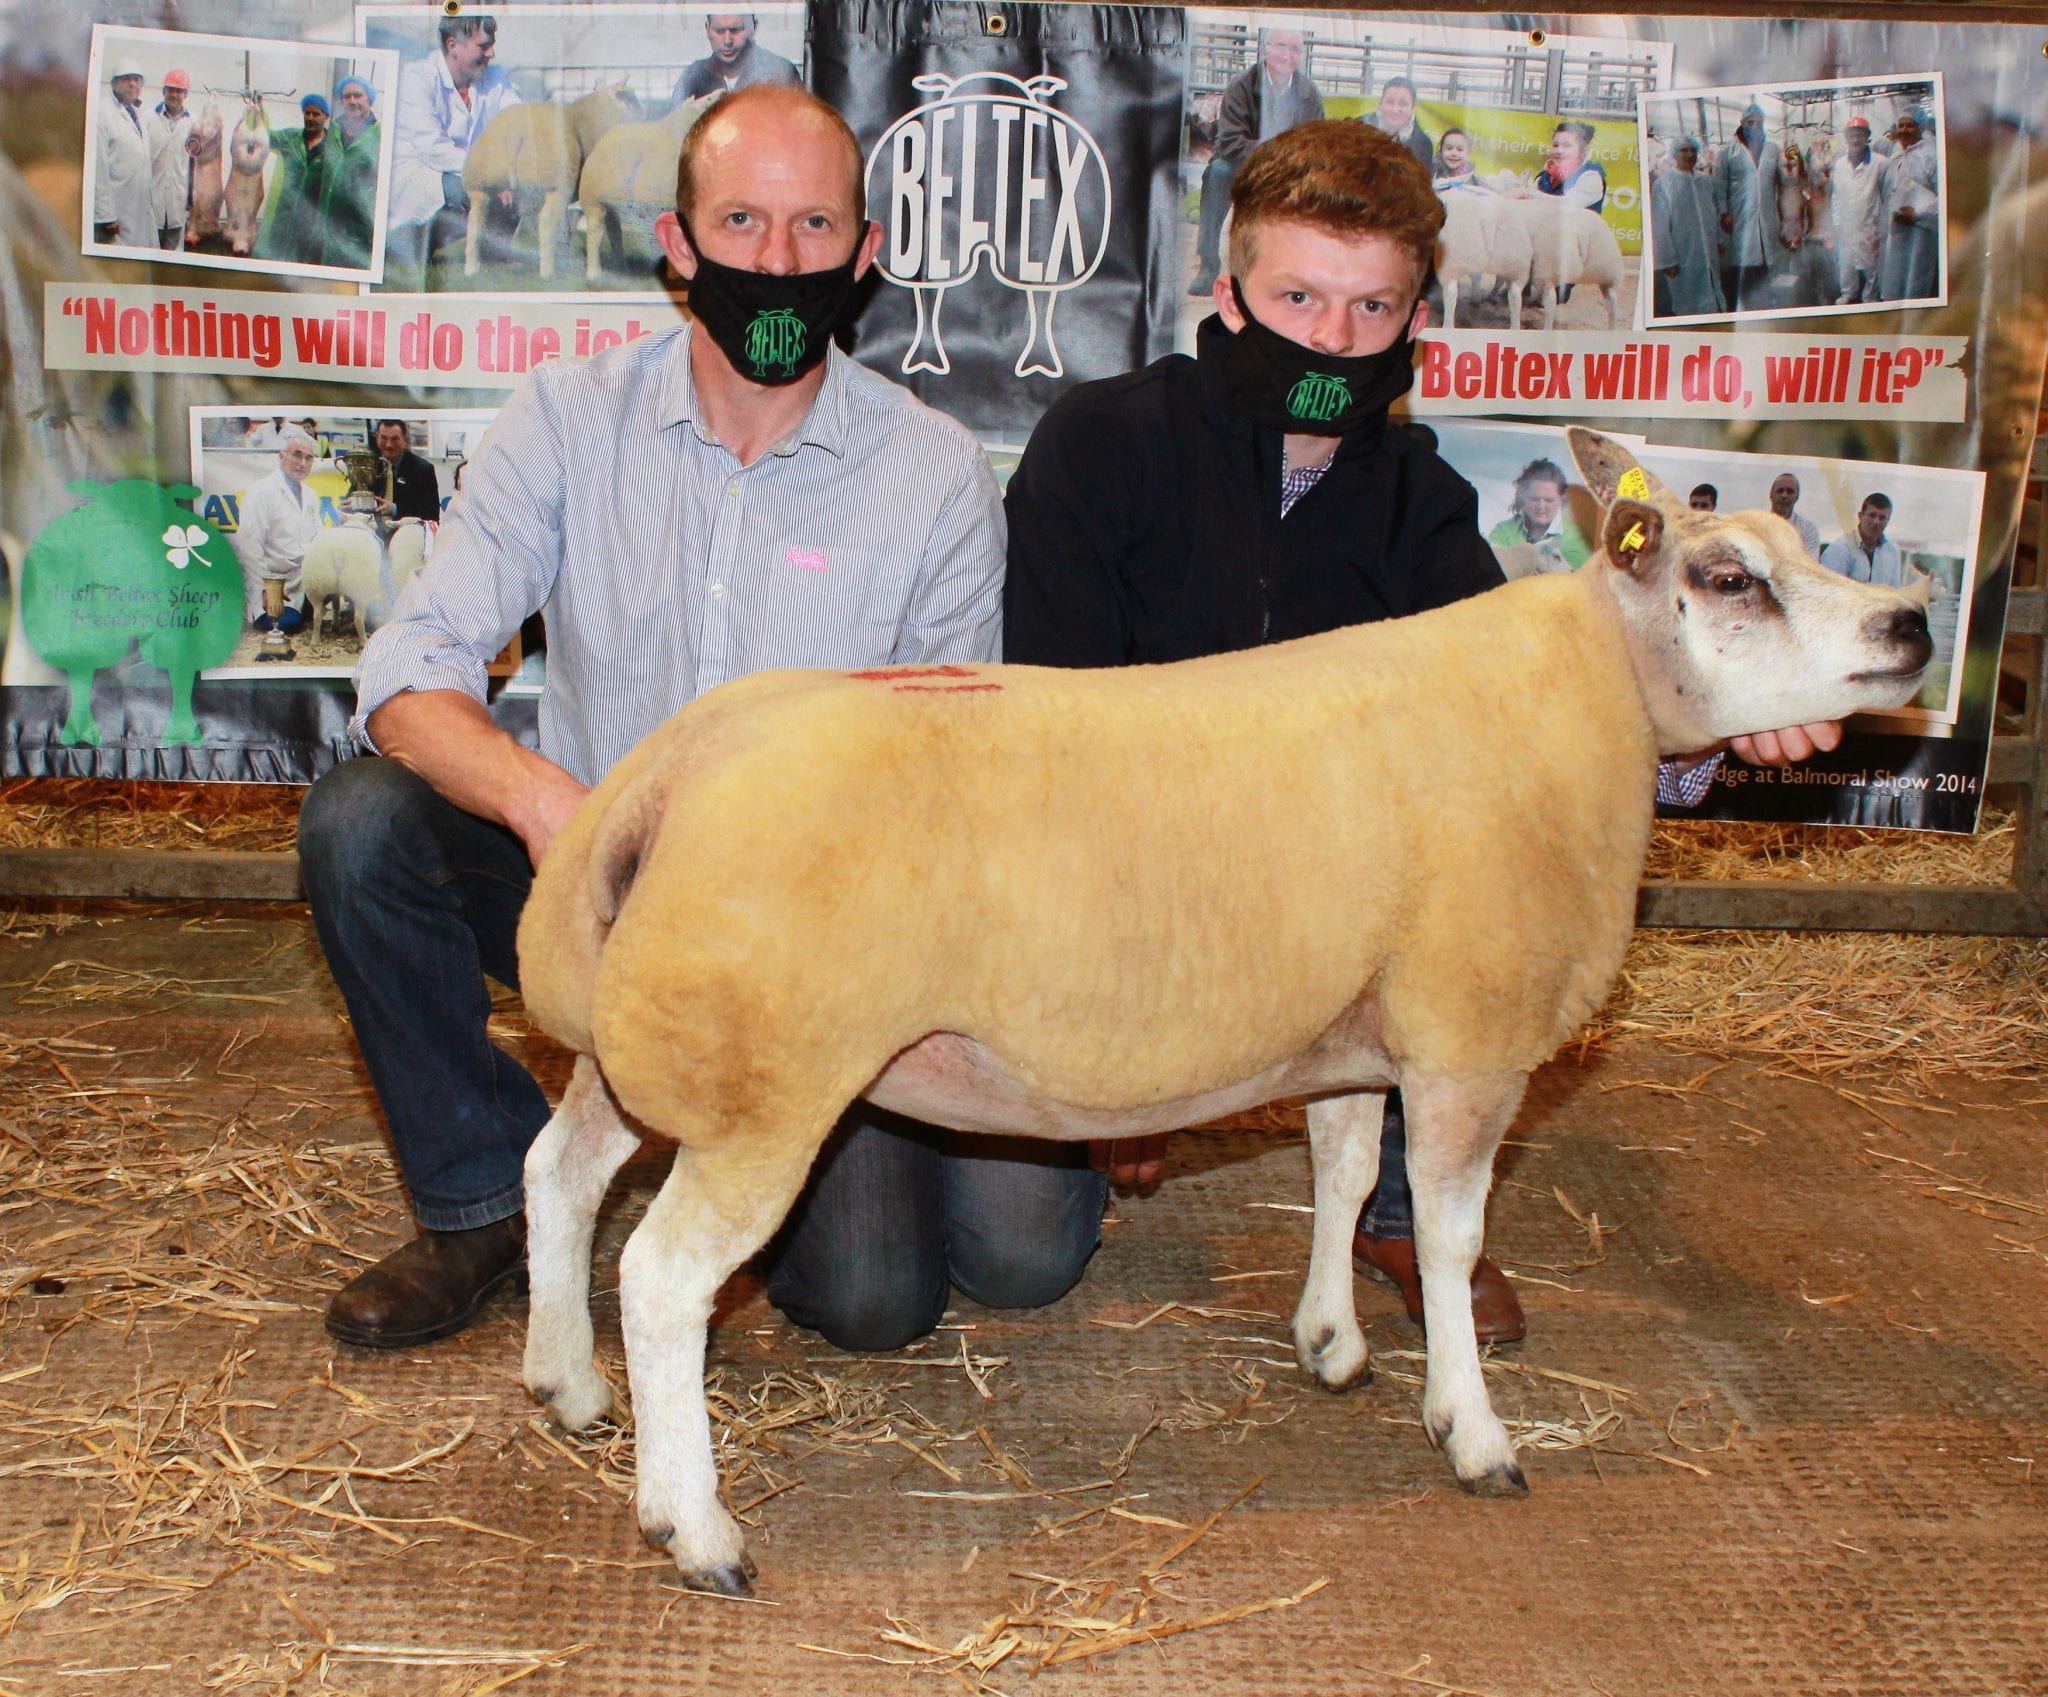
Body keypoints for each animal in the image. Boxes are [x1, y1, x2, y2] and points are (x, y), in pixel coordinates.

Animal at [462, 83, 639, 280]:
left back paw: (472, 268)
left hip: (479, 183)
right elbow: (614, 230)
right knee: (546, 221)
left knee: (476, 219)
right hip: (557, 185)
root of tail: (516, 130)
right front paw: (620, 268)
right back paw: (548, 272)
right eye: (631, 100)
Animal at [511, 428, 1934, 1595]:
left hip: (645, 1050)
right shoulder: (1467, 1038)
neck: (1586, 701)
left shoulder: (1356, 1037)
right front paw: (1471, 1429)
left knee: (559, 1172)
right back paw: (694, 1525)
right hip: (766, 1088)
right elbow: (1452, 1240)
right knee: (662, 1275)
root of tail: (663, 774)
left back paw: (566, 1379)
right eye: (1729, 578)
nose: (1911, 626)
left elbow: (1344, 1175)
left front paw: (1331, 1341)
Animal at [578, 97, 714, 282]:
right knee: (595, 235)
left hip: (612, 208)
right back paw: (594, 274)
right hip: (594, 202)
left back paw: (623, 268)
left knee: (615, 235)